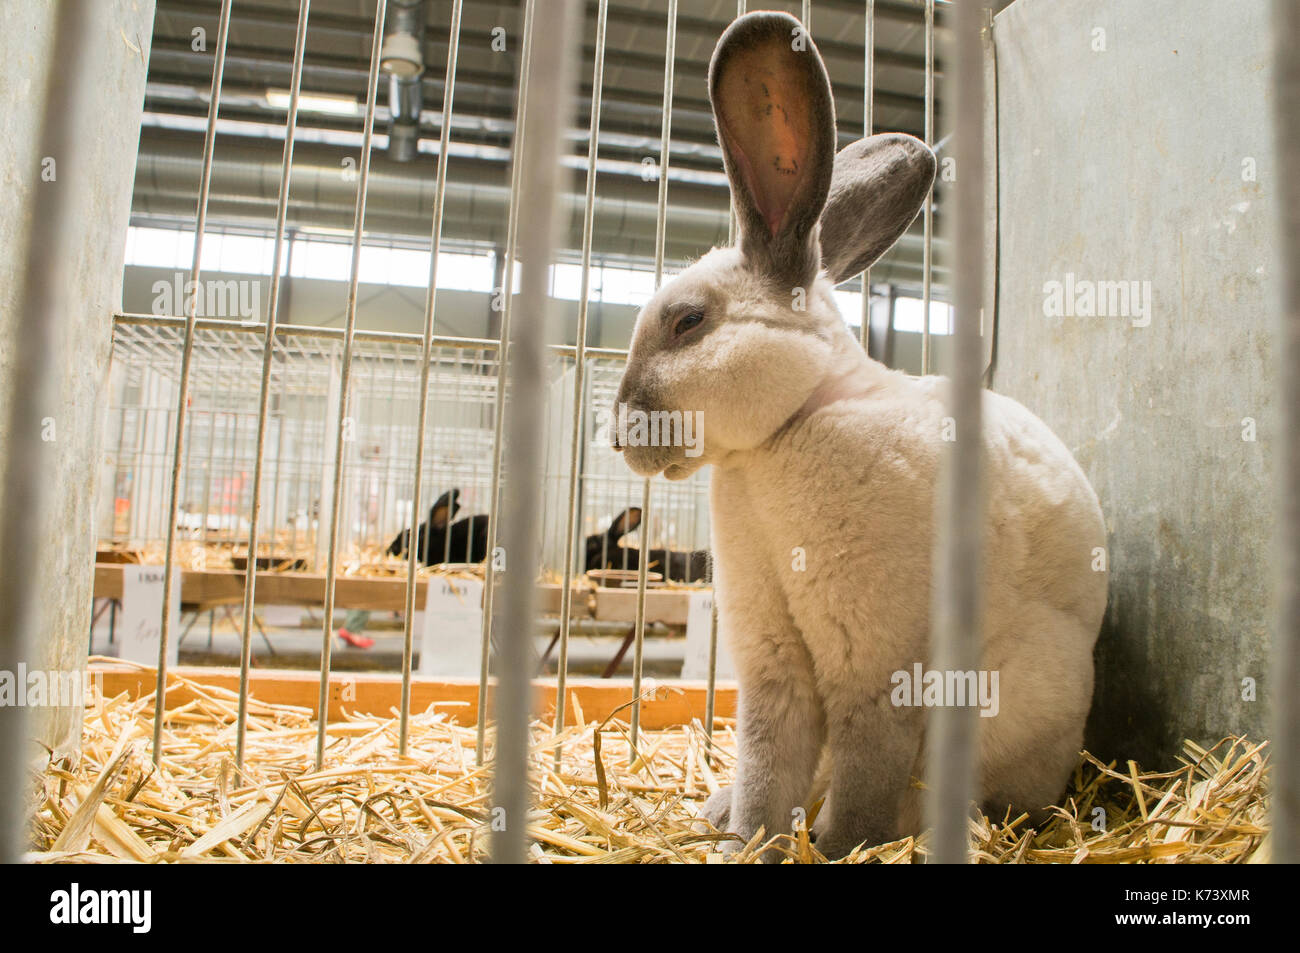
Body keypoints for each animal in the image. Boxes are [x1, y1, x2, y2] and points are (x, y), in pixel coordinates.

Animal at [612, 11, 1108, 860]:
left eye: (688, 322)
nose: (619, 437)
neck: (797, 417)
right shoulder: (773, 659)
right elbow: (768, 750)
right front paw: (747, 837)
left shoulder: (875, 658)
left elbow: (865, 755)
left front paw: (842, 841)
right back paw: (719, 807)